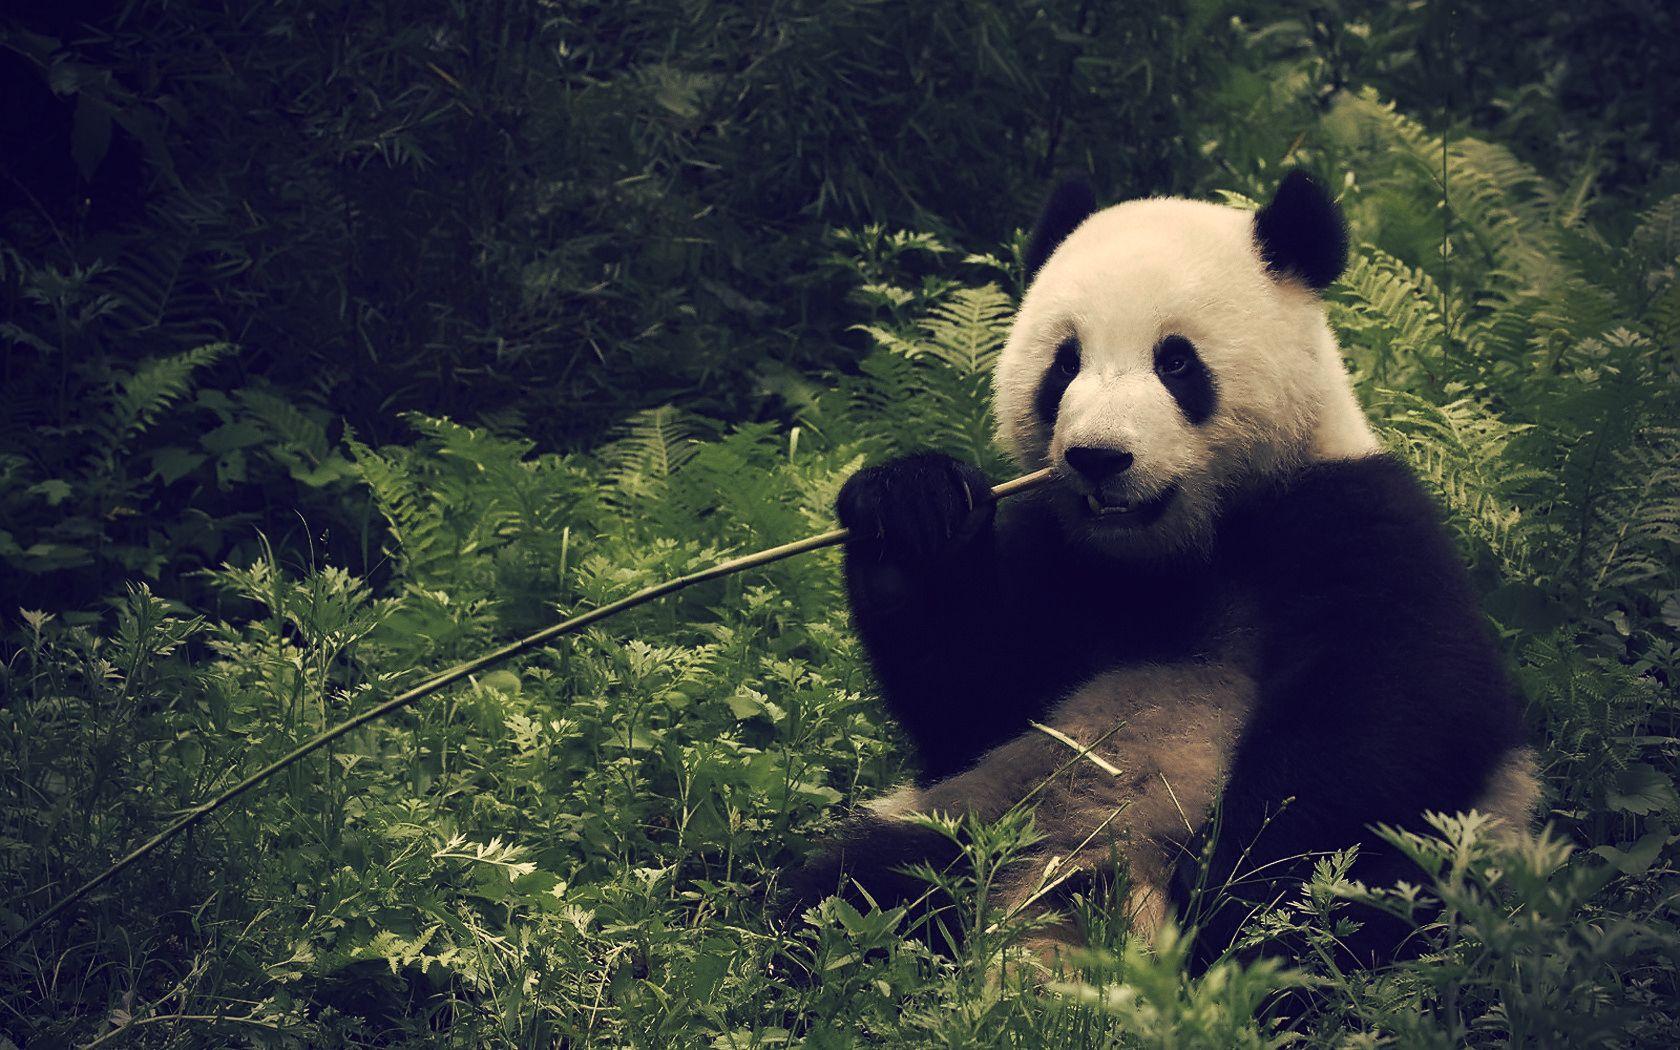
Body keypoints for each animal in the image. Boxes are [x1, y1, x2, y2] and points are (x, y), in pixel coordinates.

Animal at [777, 171, 1540, 971]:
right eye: (1064, 363)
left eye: (1175, 362)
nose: (1098, 457)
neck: (1176, 552)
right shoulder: (1059, 559)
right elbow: (970, 699)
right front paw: (912, 510)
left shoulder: (1354, 521)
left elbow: (1391, 714)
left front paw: (1231, 888)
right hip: (986, 813)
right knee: (856, 890)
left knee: (1365, 901)